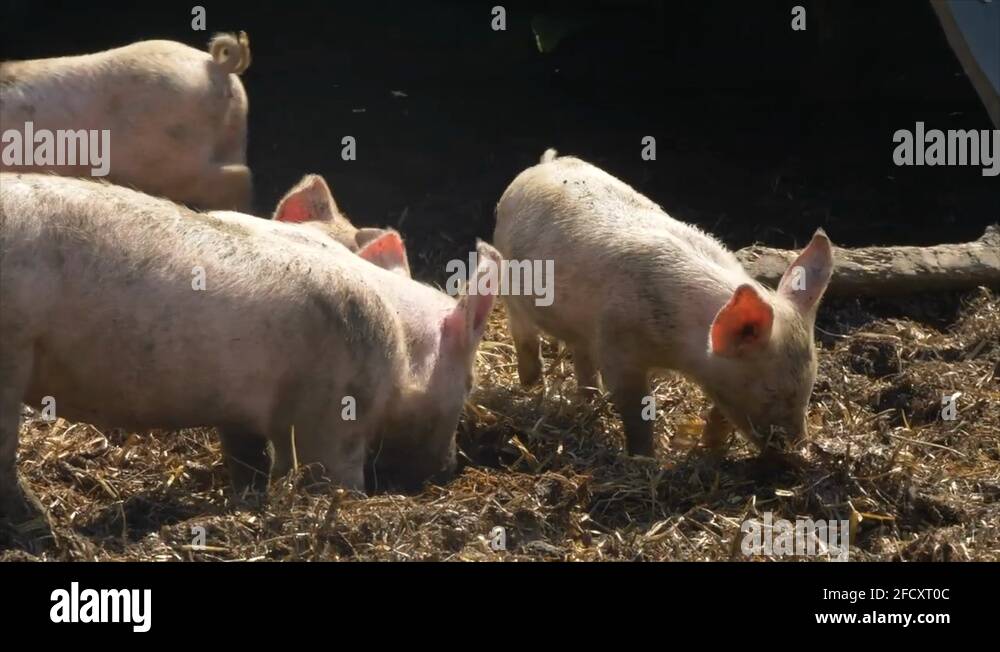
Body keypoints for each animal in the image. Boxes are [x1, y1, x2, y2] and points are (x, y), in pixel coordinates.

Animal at [0, 172, 498, 535]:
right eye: (470, 385)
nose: (451, 467)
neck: (399, 348)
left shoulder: (241, 414)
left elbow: (248, 462)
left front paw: (248, 503)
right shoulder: (332, 411)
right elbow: (331, 477)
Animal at [493, 150, 834, 456]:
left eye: (810, 386)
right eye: (770, 390)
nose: (799, 452)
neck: (681, 352)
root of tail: (545, 164)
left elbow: (721, 413)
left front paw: (711, 450)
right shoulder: (618, 349)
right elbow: (637, 413)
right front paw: (643, 459)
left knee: (581, 354)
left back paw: (588, 398)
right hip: (509, 283)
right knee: (522, 331)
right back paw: (532, 384)